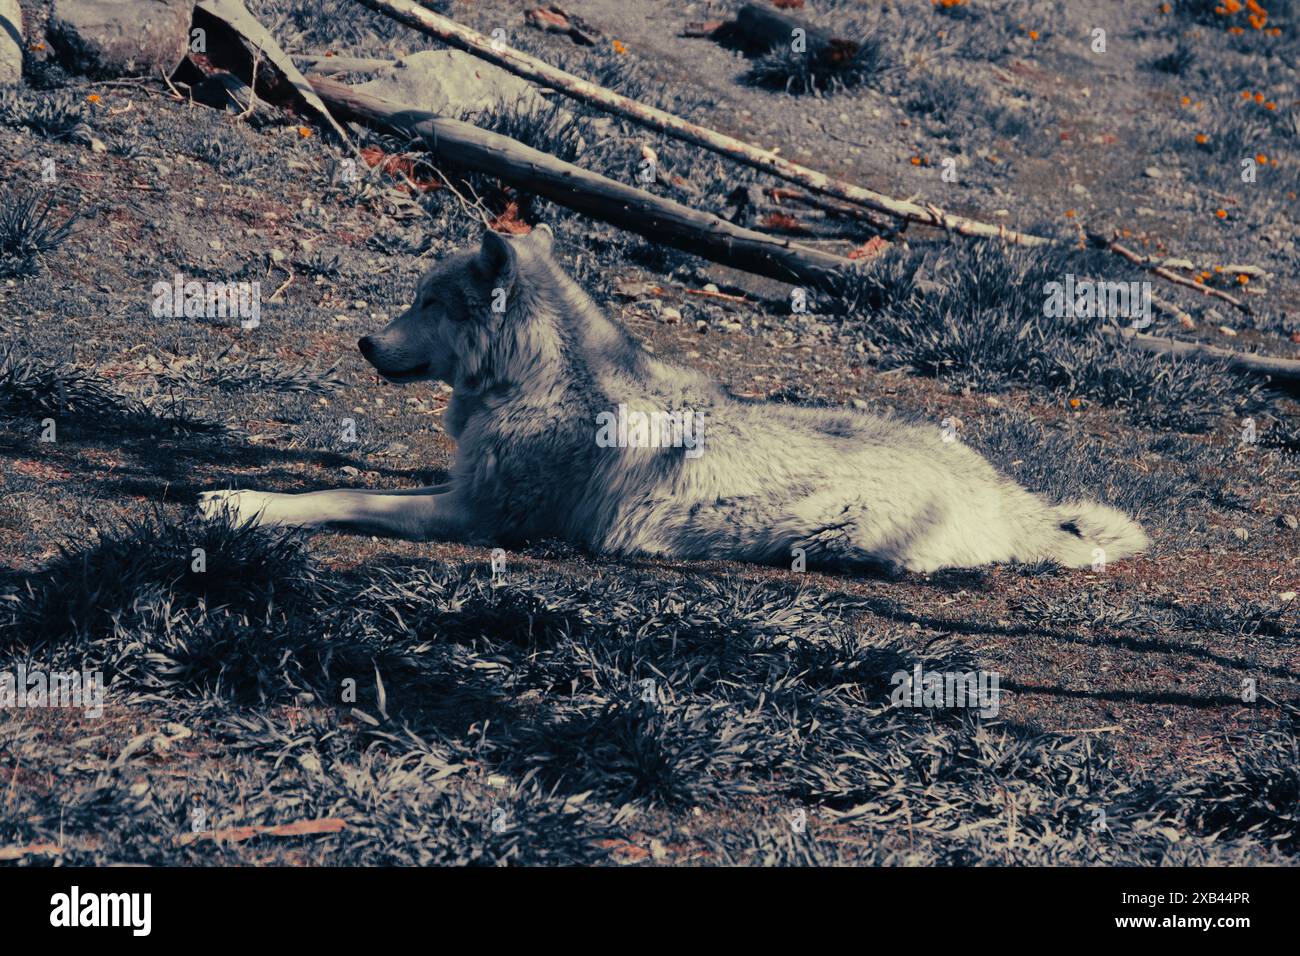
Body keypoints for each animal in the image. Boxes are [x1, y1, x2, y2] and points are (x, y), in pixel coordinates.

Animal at [199, 226, 1148, 573]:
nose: (364, 344)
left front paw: (236, 501)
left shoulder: (474, 516)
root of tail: (1005, 492)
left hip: (855, 537)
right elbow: (344, 474)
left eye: (428, 303)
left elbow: (336, 491)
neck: (537, 385)